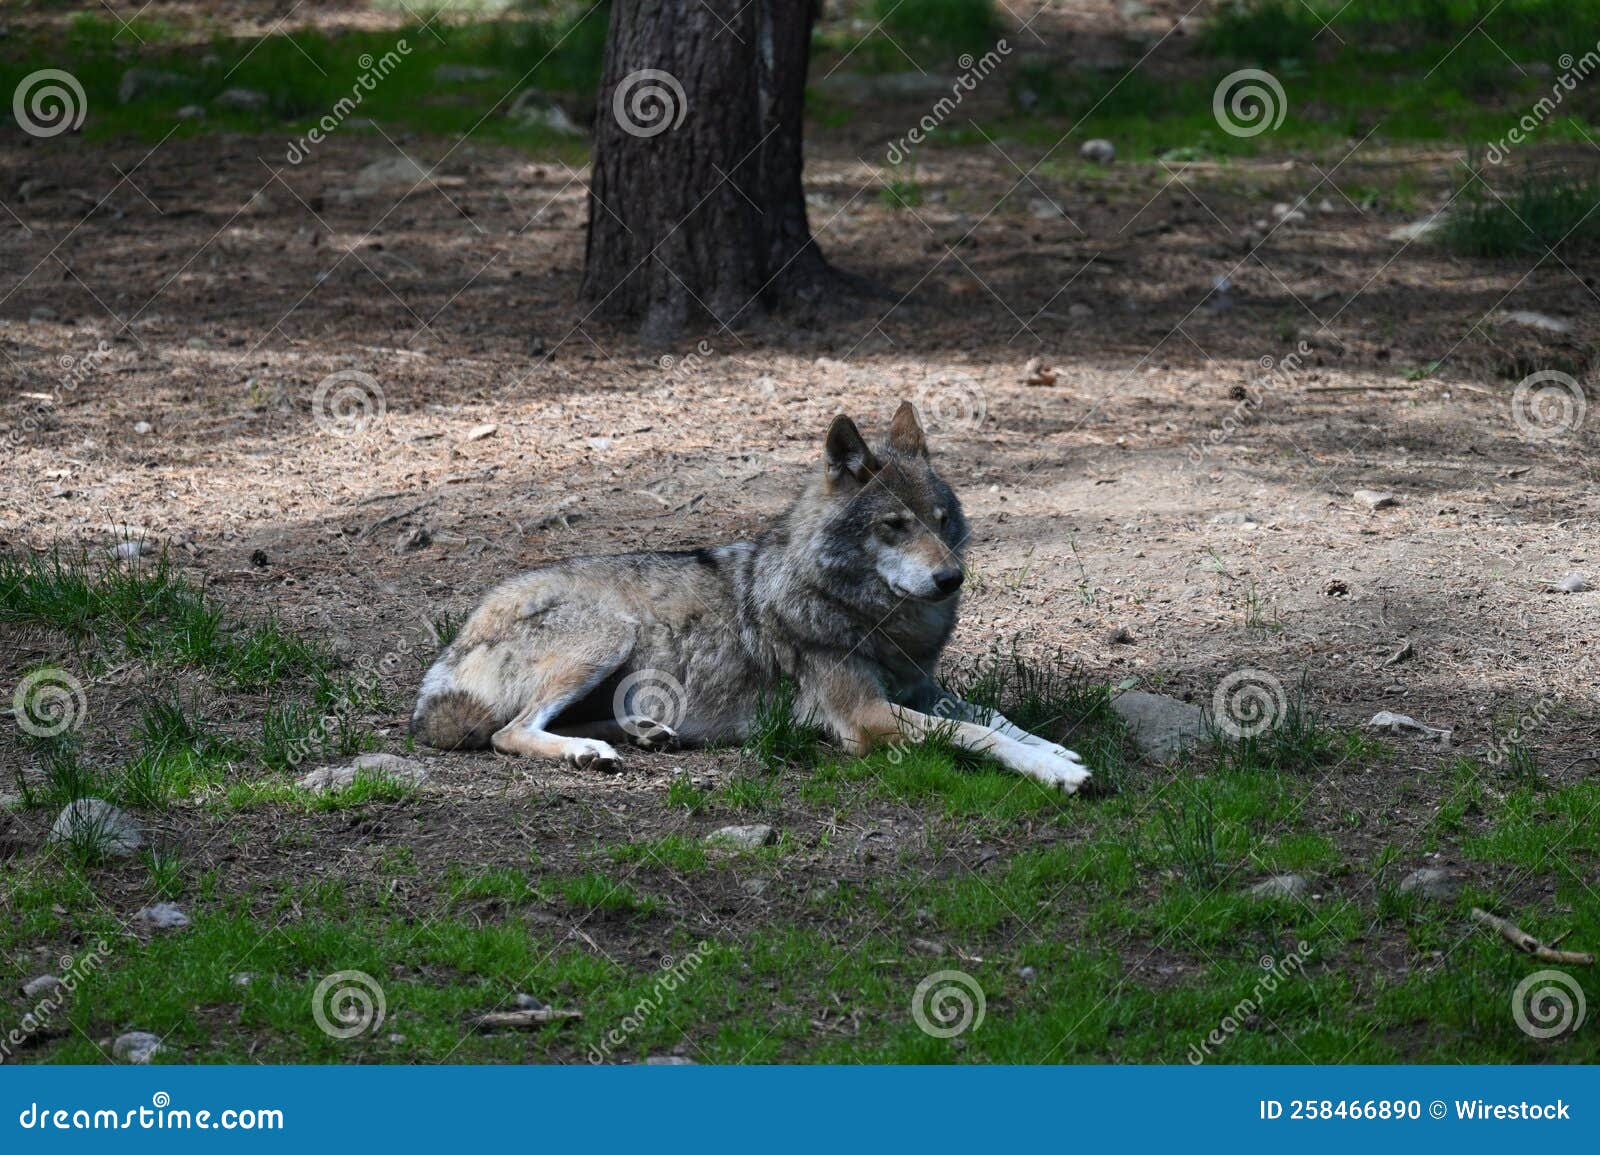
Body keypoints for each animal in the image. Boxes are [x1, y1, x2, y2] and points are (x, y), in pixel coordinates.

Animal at [410, 403, 1091, 792]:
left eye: (942, 521)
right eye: (895, 526)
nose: (951, 579)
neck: (863, 614)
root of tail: (453, 646)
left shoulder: (918, 689)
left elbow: (993, 716)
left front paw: (1054, 746)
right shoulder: (867, 717)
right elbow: (976, 734)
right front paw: (1057, 771)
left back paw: (646, 731)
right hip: (610, 632)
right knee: (509, 733)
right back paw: (588, 751)